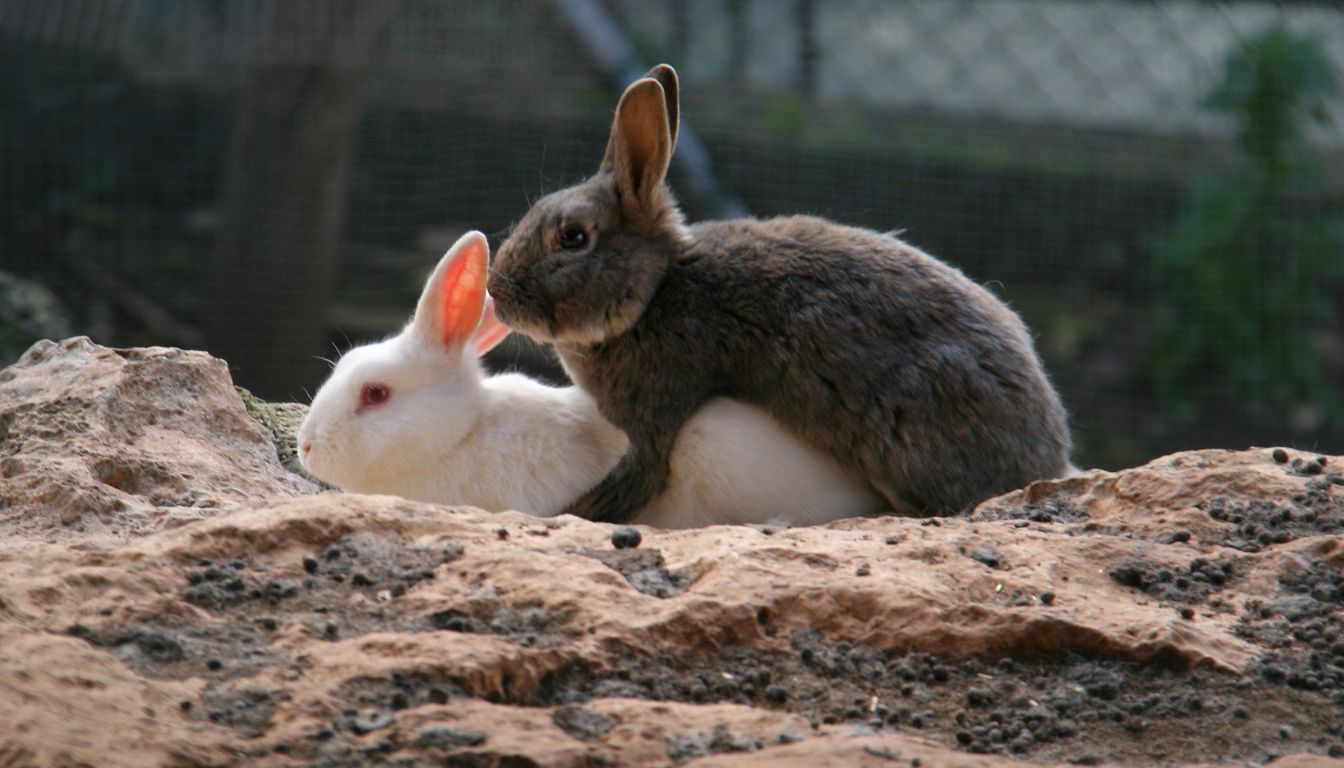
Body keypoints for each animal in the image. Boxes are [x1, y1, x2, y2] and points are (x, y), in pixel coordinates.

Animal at [486, 63, 1073, 524]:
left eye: (573, 237)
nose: (495, 290)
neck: (654, 292)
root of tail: (1049, 453)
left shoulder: (654, 409)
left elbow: (634, 479)